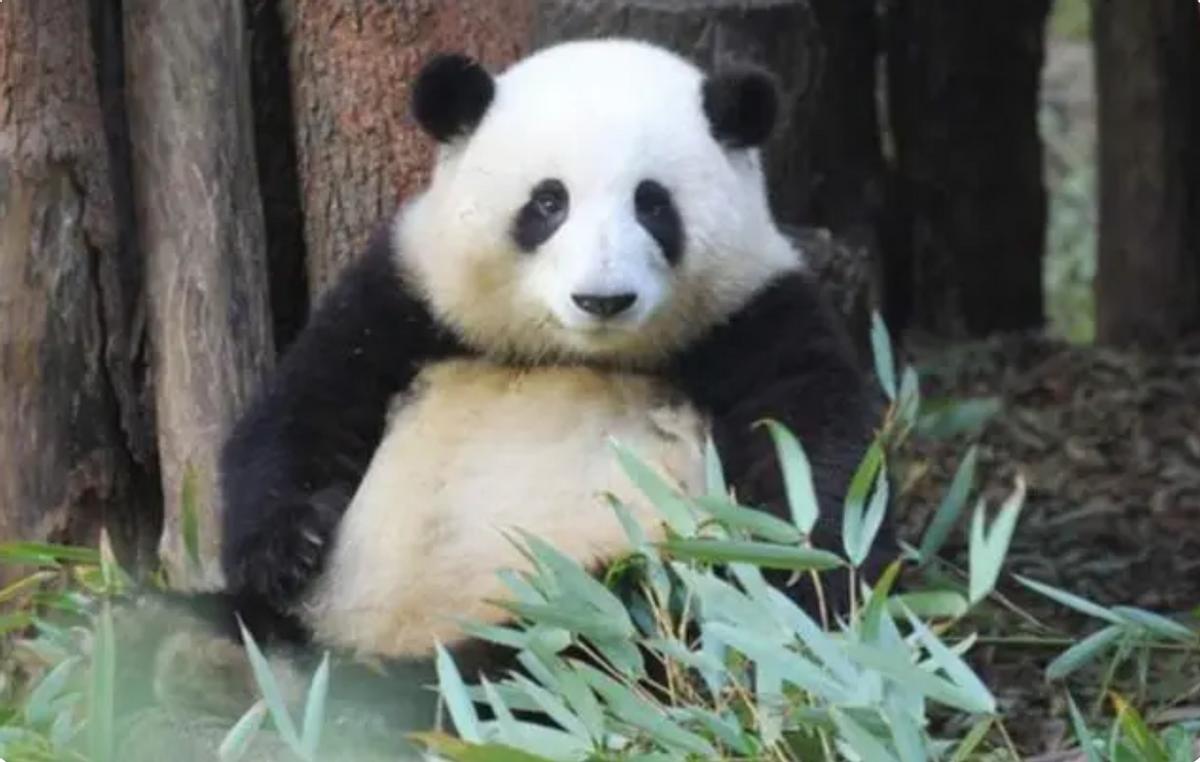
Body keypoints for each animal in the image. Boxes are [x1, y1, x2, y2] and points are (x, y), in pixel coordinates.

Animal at [218, 38, 887, 699]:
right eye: (548, 202)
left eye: (653, 204)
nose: (602, 300)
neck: (576, 350)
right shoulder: (408, 301)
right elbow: (305, 408)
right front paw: (289, 548)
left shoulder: (755, 317)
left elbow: (812, 482)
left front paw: (795, 592)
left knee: (602, 632)